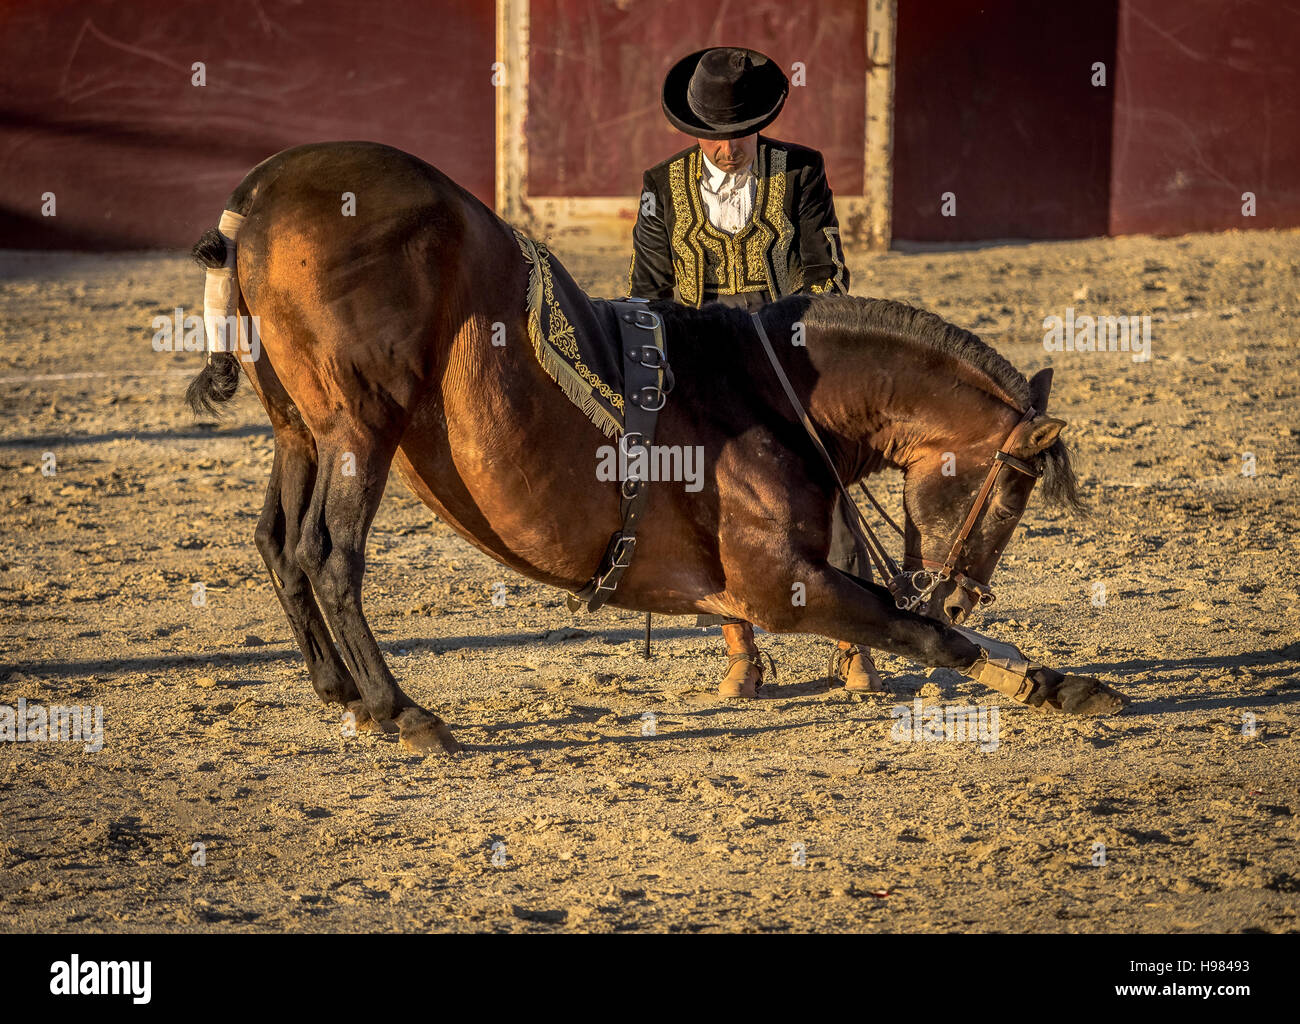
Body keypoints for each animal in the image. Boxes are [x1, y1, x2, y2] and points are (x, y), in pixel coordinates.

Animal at [185, 141, 1120, 755]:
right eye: (1010, 493)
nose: (960, 592)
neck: (770, 392)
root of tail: (259, 192)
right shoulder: (783, 584)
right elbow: (921, 635)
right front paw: (1022, 671)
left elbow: (931, 633)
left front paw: (1053, 680)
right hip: (359, 429)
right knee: (328, 555)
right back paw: (400, 711)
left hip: (298, 431)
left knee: (278, 544)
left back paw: (340, 689)